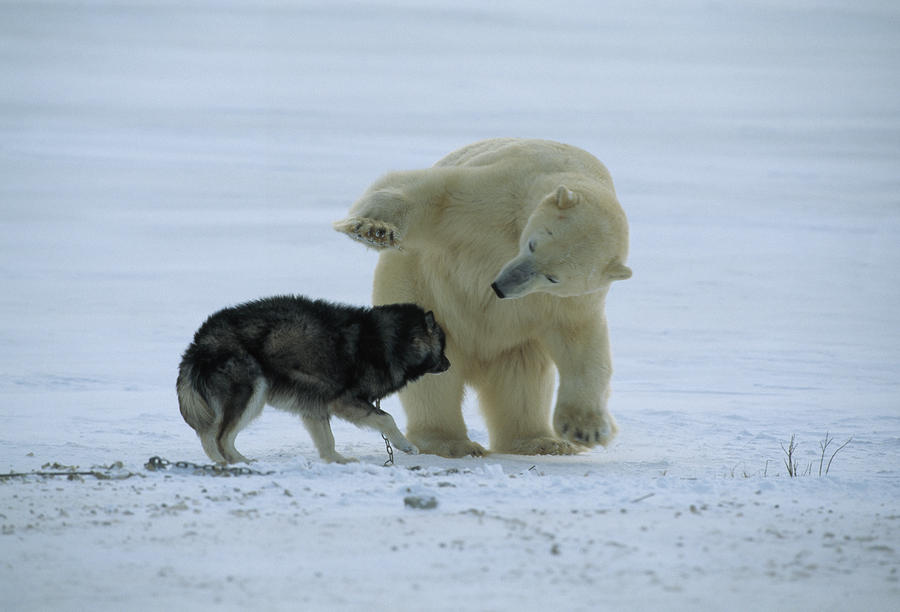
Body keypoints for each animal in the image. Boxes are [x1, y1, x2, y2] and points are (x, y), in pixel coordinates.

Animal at [333, 138, 631, 457]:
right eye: (532, 244)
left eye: (554, 277)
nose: (500, 287)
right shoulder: (497, 192)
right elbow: (430, 193)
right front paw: (374, 229)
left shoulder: (573, 299)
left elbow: (581, 343)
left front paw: (584, 430)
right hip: (421, 293)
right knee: (433, 378)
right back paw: (452, 443)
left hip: (516, 344)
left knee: (523, 381)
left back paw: (542, 442)